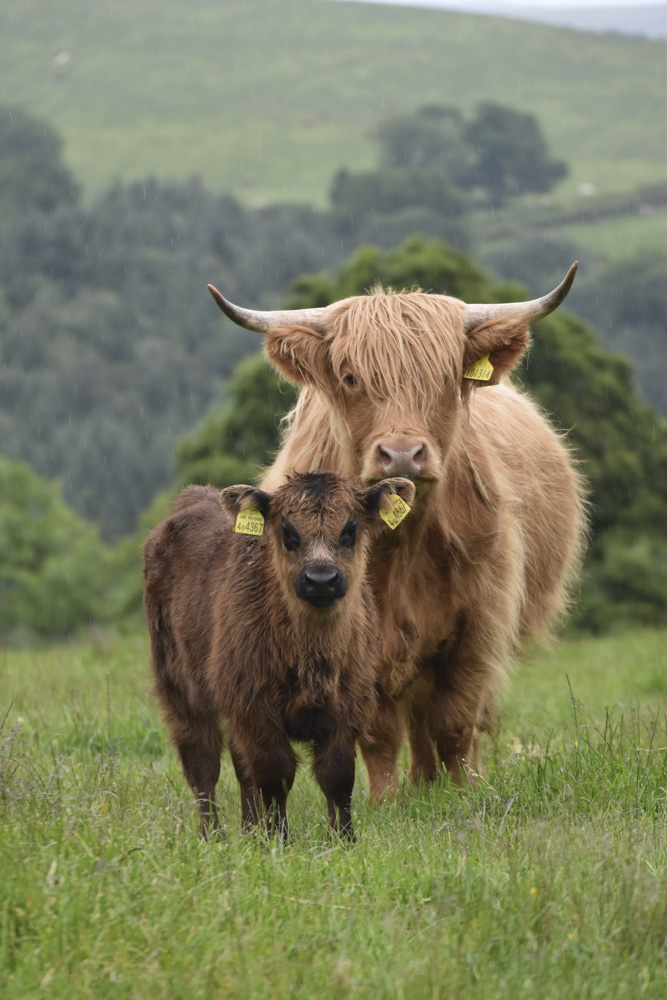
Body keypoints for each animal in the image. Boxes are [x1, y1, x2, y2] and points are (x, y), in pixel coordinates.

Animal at [143, 471, 416, 840]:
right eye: (288, 532)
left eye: (350, 530)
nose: (321, 580)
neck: (313, 657)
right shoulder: (255, 706)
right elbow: (275, 775)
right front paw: (278, 840)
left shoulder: (349, 706)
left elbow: (337, 776)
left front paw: (343, 839)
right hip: (180, 691)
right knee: (203, 764)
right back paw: (212, 835)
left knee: (240, 768)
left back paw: (248, 831)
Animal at [207, 264, 587, 801]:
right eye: (350, 377)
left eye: (444, 377)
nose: (403, 454)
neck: (404, 542)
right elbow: (378, 730)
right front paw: (385, 799)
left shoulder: (479, 622)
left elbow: (456, 721)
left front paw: (465, 792)